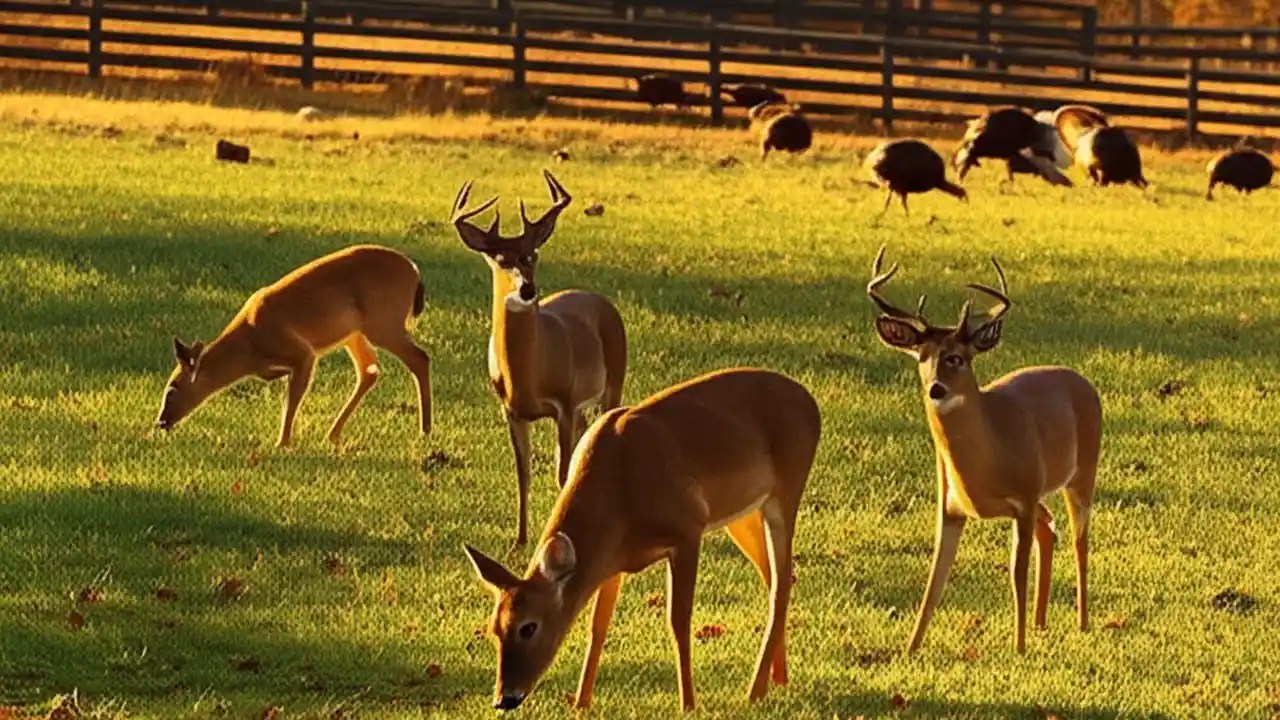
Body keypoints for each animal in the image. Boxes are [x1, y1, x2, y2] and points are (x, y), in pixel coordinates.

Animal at [155, 244, 433, 446]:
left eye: (173, 388)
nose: (160, 422)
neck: (249, 350)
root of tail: (416, 272)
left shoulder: (303, 352)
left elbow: (292, 398)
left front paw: (283, 443)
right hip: (355, 333)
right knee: (369, 370)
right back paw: (333, 434)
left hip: (383, 322)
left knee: (419, 358)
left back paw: (425, 431)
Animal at [452, 170, 627, 547]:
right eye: (501, 259)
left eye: (532, 254)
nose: (527, 288)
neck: (527, 376)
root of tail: (599, 299)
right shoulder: (511, 410)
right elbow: (524, 472)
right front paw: (519, 540)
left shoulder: (565, 402)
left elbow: (561, 474)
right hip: (582, 408)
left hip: (613, 381)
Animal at [463, 368, 821, 712]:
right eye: (494, 629)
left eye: (528, 627)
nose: (504, 698)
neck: (619, 496)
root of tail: (810, 403)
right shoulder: (612, 561)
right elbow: (598, 626)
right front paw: (581, 703)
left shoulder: (688, 528)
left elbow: (678, 621)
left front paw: (688, 704)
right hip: (741, 514)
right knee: (772, 577)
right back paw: (778, 679)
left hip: (786, 489)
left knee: (781, 585)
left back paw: (755, 691)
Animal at [865, 247, 1101, 655]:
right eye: (922, 356)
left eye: (958, 357)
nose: (936, 388)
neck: (988, 459)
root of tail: (1084, 381)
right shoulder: (951, 506)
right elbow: (935, 578)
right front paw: (910, 649)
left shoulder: (1024, 496)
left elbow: (1016, 572)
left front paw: (1018, 648)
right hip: (1043, 494)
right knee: (1050, 529)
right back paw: (1040, 623)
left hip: (1082, 472)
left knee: (1079, 540)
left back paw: (1081, 623)